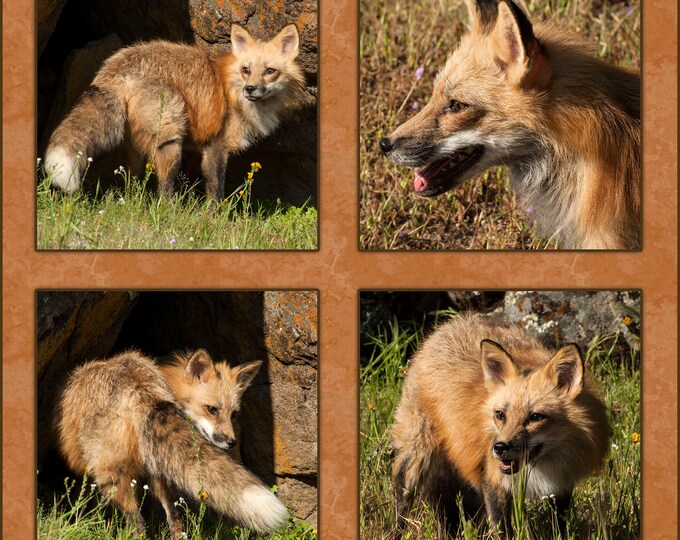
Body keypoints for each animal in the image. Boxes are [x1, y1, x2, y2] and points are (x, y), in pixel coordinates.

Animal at [44, 23, 305, 199]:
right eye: (246, 70)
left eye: (270, 71)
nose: (250, 89)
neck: (231, 91)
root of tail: (114, 66)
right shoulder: (216, 147)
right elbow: (216, 193)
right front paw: (215, 221)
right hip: (170, 141)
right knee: (165, 191)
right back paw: (170, 214)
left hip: (137, 145)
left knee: (131, 180)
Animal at [55, 349, 287, 538]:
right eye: (212, 409)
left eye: (234, 414)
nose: (231, 442)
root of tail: (139, 385)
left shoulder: (84, 467)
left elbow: (81, 501)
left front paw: (77, 522)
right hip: (160, 474)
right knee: (175, 520)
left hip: (110, 475)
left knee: (138, 525)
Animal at [391, 314, 610, 537]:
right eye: (500, 415)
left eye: (535, 417)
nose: (499, 448)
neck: (543, 465)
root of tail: (449, 323)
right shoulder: (492, 479)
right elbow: (502, 528)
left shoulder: (561, 483)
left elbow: (560, 527)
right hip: (418, 454)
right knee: (402, 493)